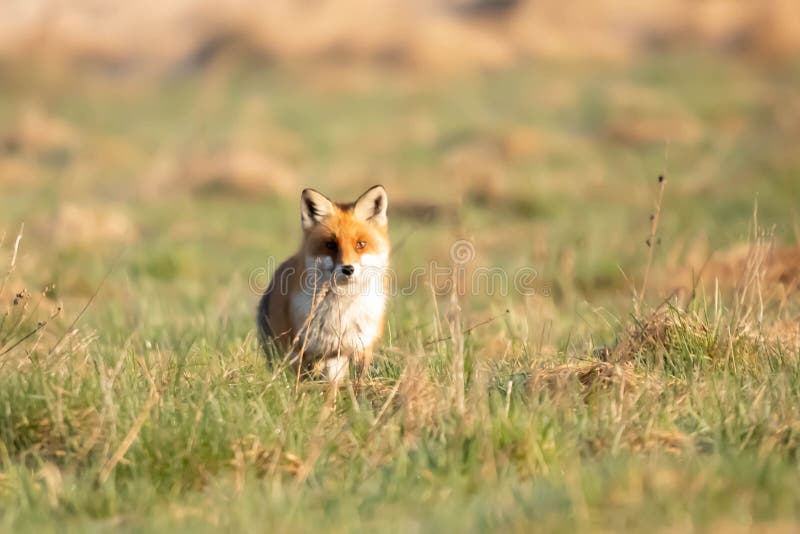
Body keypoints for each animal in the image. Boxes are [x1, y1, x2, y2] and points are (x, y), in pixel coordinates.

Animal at [257, 185, 390, 382]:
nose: (348, 269)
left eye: (361, 244)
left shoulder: (360, 347)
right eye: (331, 245)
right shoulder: (303, 350)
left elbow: (357, 384)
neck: (342, 310)